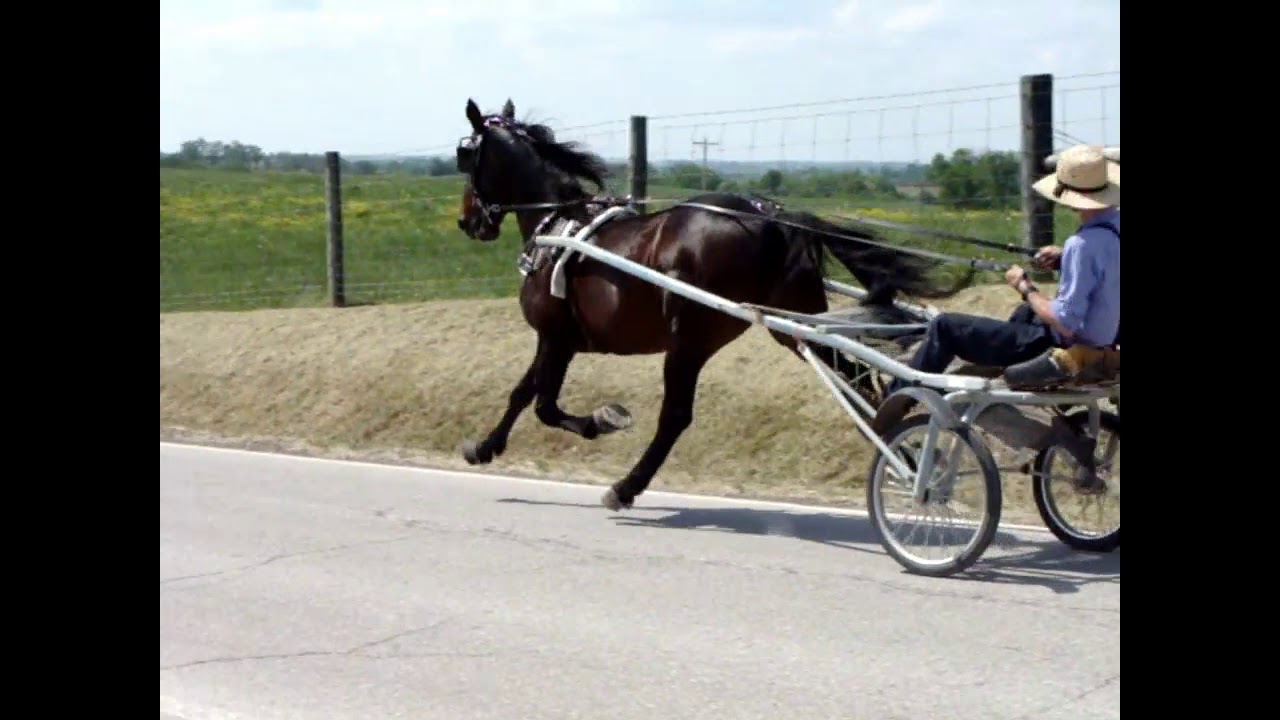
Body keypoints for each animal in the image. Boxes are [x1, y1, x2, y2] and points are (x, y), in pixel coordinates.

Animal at [452, 97, 973, 511]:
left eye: (465, 154)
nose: (468, 222)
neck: (558, 227)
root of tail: (773, 215)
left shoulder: (555, 336)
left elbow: (544, 404)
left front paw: (603, 420)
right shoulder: (558, 340)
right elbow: (522, 394)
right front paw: (484, 446)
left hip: (690, 339)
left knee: (675, 417)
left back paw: (625, 487)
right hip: (790, 323)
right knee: (856, 380)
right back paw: (904, 455)